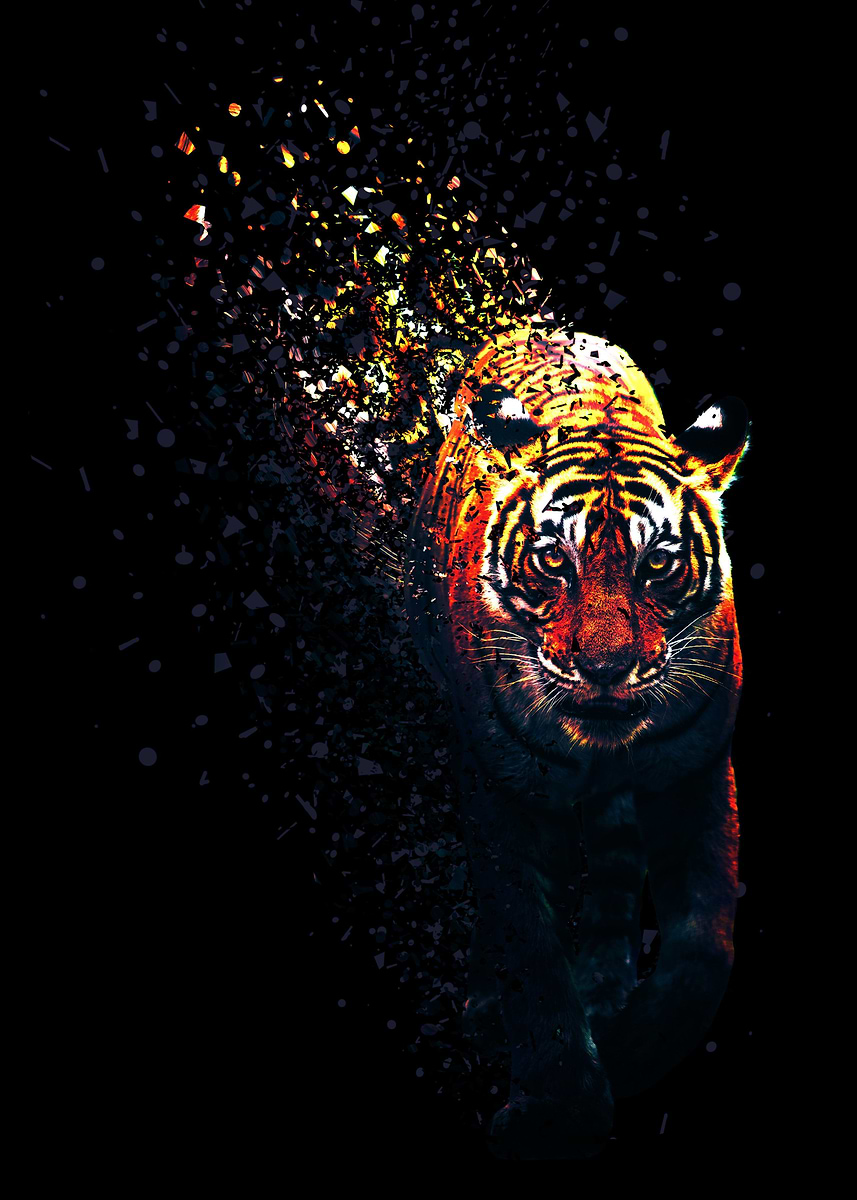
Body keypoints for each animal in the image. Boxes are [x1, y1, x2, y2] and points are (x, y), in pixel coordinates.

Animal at [403, 319, 749, 1159]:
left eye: (658, 564)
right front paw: (558, 1110)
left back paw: (604, 989)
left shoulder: (691, 773)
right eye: (552, 559)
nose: (604, 668)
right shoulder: (499, 786)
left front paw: (627, 1053)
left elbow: (703, 945)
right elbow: (525, 938)